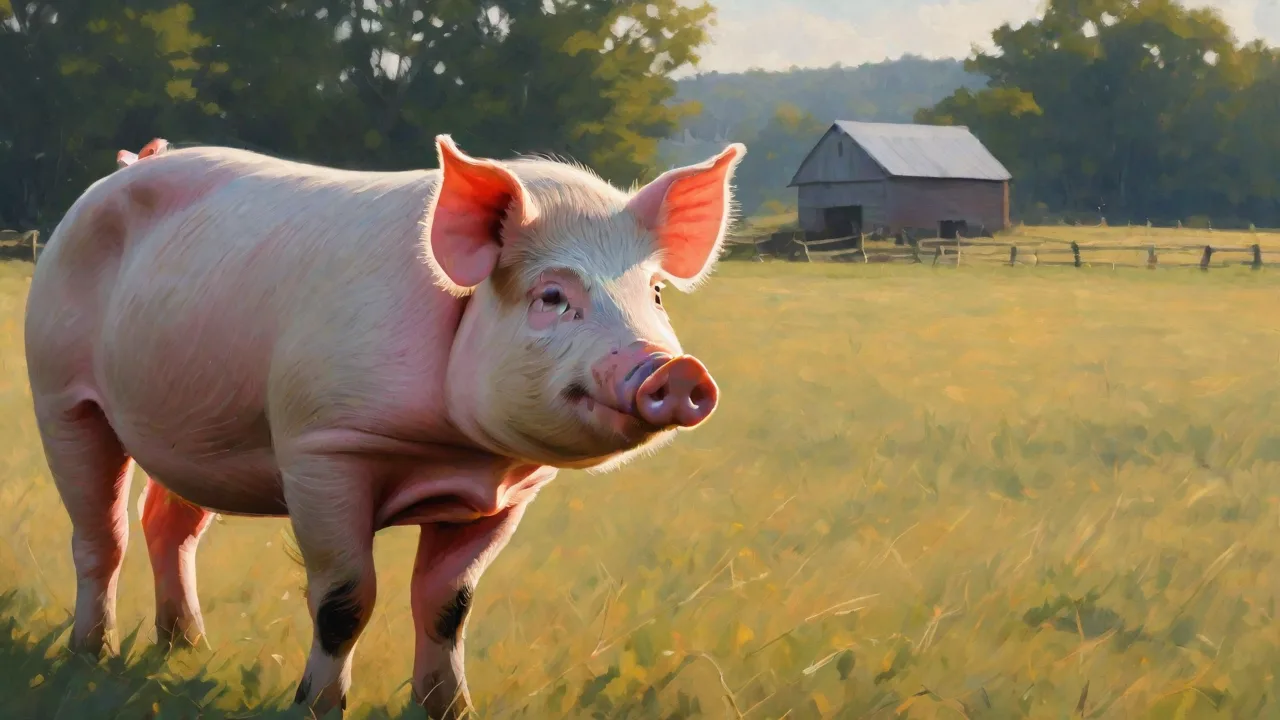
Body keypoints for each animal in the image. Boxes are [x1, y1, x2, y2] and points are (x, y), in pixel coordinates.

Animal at [24, 134, 745, 718]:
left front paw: (450, 711)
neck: (457, 451)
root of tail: (129, 164)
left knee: (166, 525)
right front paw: (315, 709)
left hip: (196, 431)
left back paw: (186, 648)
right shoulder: (321, 449)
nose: (674, 369)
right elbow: (343, 601)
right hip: (58, 392)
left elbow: (449, 605)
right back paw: (91, 657)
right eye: (552, 296)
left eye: (654, 293)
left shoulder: (505, 494)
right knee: (100, 536)